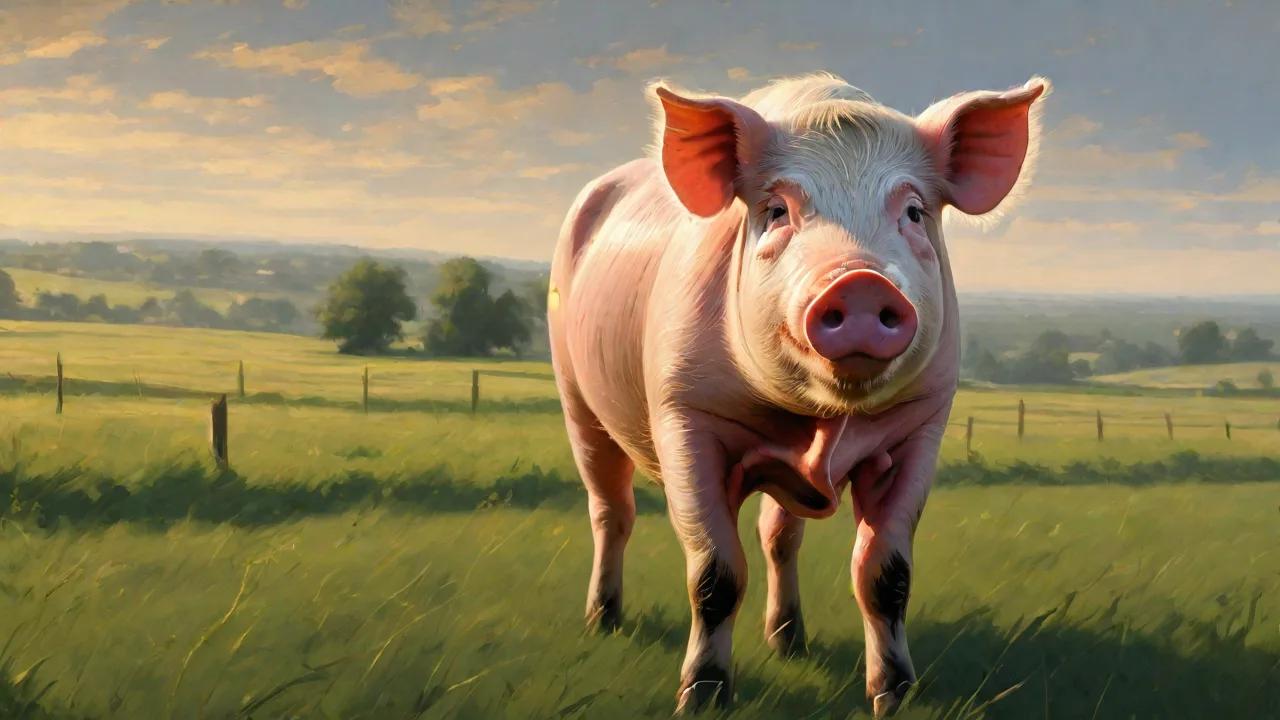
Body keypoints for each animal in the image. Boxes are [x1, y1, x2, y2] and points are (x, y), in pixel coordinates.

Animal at [546, 71, 1050, 717]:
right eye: (777, 210)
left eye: (914, 211)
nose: (861, 281)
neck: (821, 417)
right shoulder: (683, 412)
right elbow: (713, 573)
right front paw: (701, 698)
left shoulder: (923, 423)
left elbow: (886, 573)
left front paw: (894, 696)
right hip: (576, 398)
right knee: (611, 509)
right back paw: (603, 622)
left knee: (778, 536)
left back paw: (790, 643)